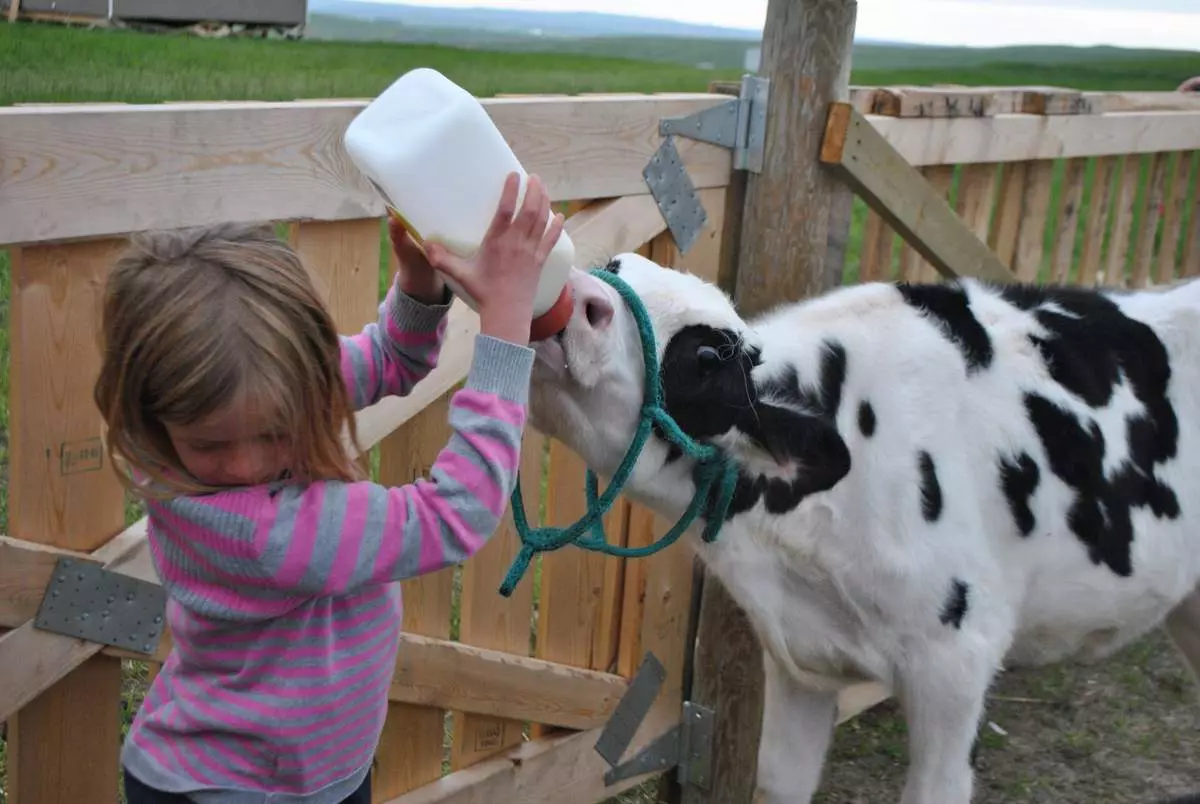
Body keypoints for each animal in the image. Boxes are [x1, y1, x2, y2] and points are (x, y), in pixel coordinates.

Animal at [530, 256, 1200, 804]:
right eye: (616, 265)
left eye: (706, 359)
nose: (579, 291)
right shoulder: (800, 660)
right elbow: (780, 782)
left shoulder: (958, 664)